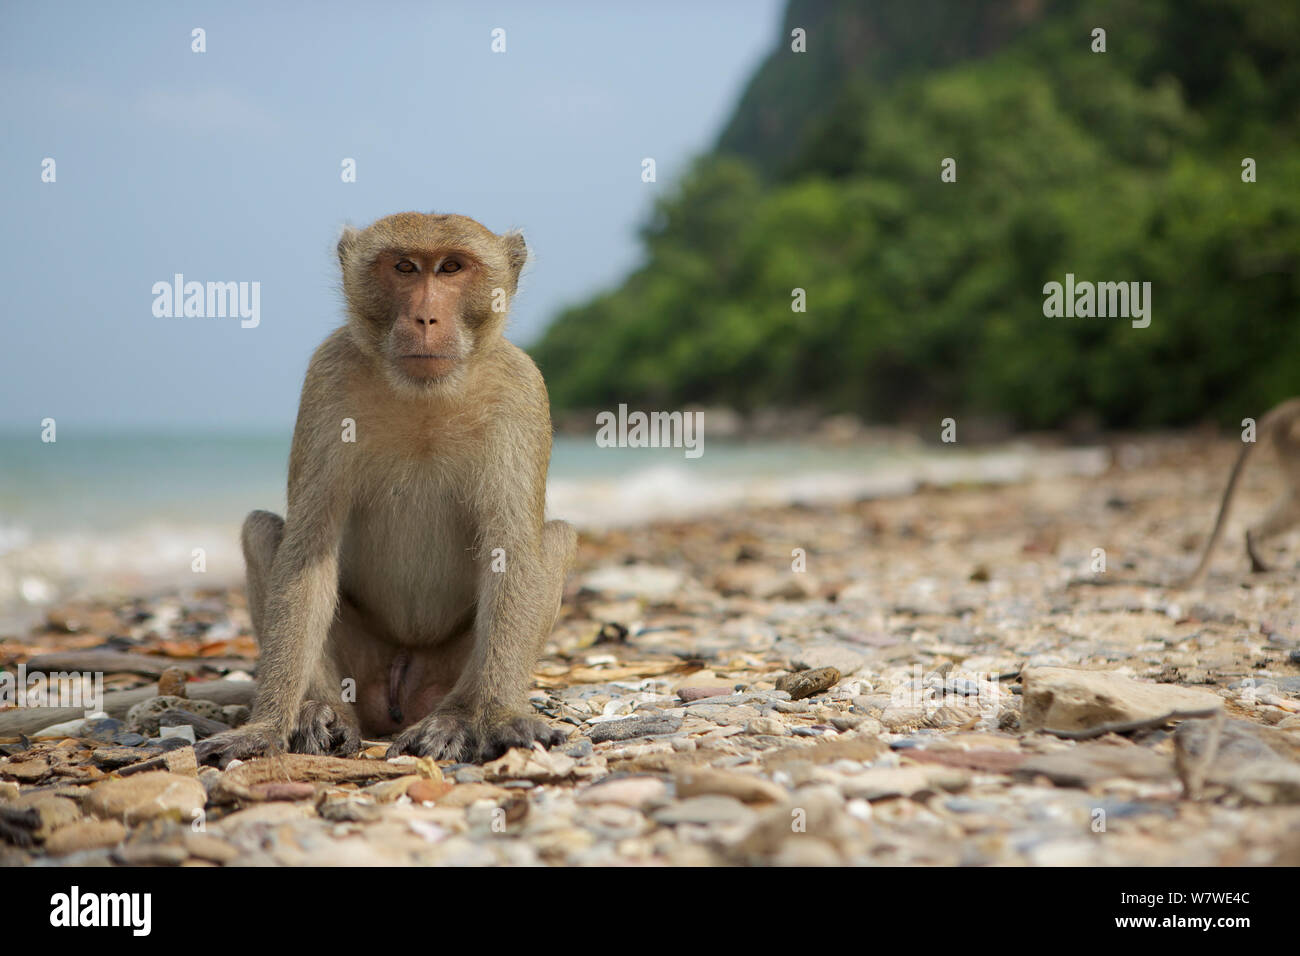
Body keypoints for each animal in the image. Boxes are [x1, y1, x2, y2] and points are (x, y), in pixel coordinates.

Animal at [196, 212, 576, 765]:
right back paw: (322, 711)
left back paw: (454, 717)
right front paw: (265, 726)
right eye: (404, 267)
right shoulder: (328, 375)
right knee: (263, 532)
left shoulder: (523, 389)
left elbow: (513, 552)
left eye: (451, 267)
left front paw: (503, 716)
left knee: (557, 537)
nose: (425, 318)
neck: (424, 395)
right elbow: (308, 550)